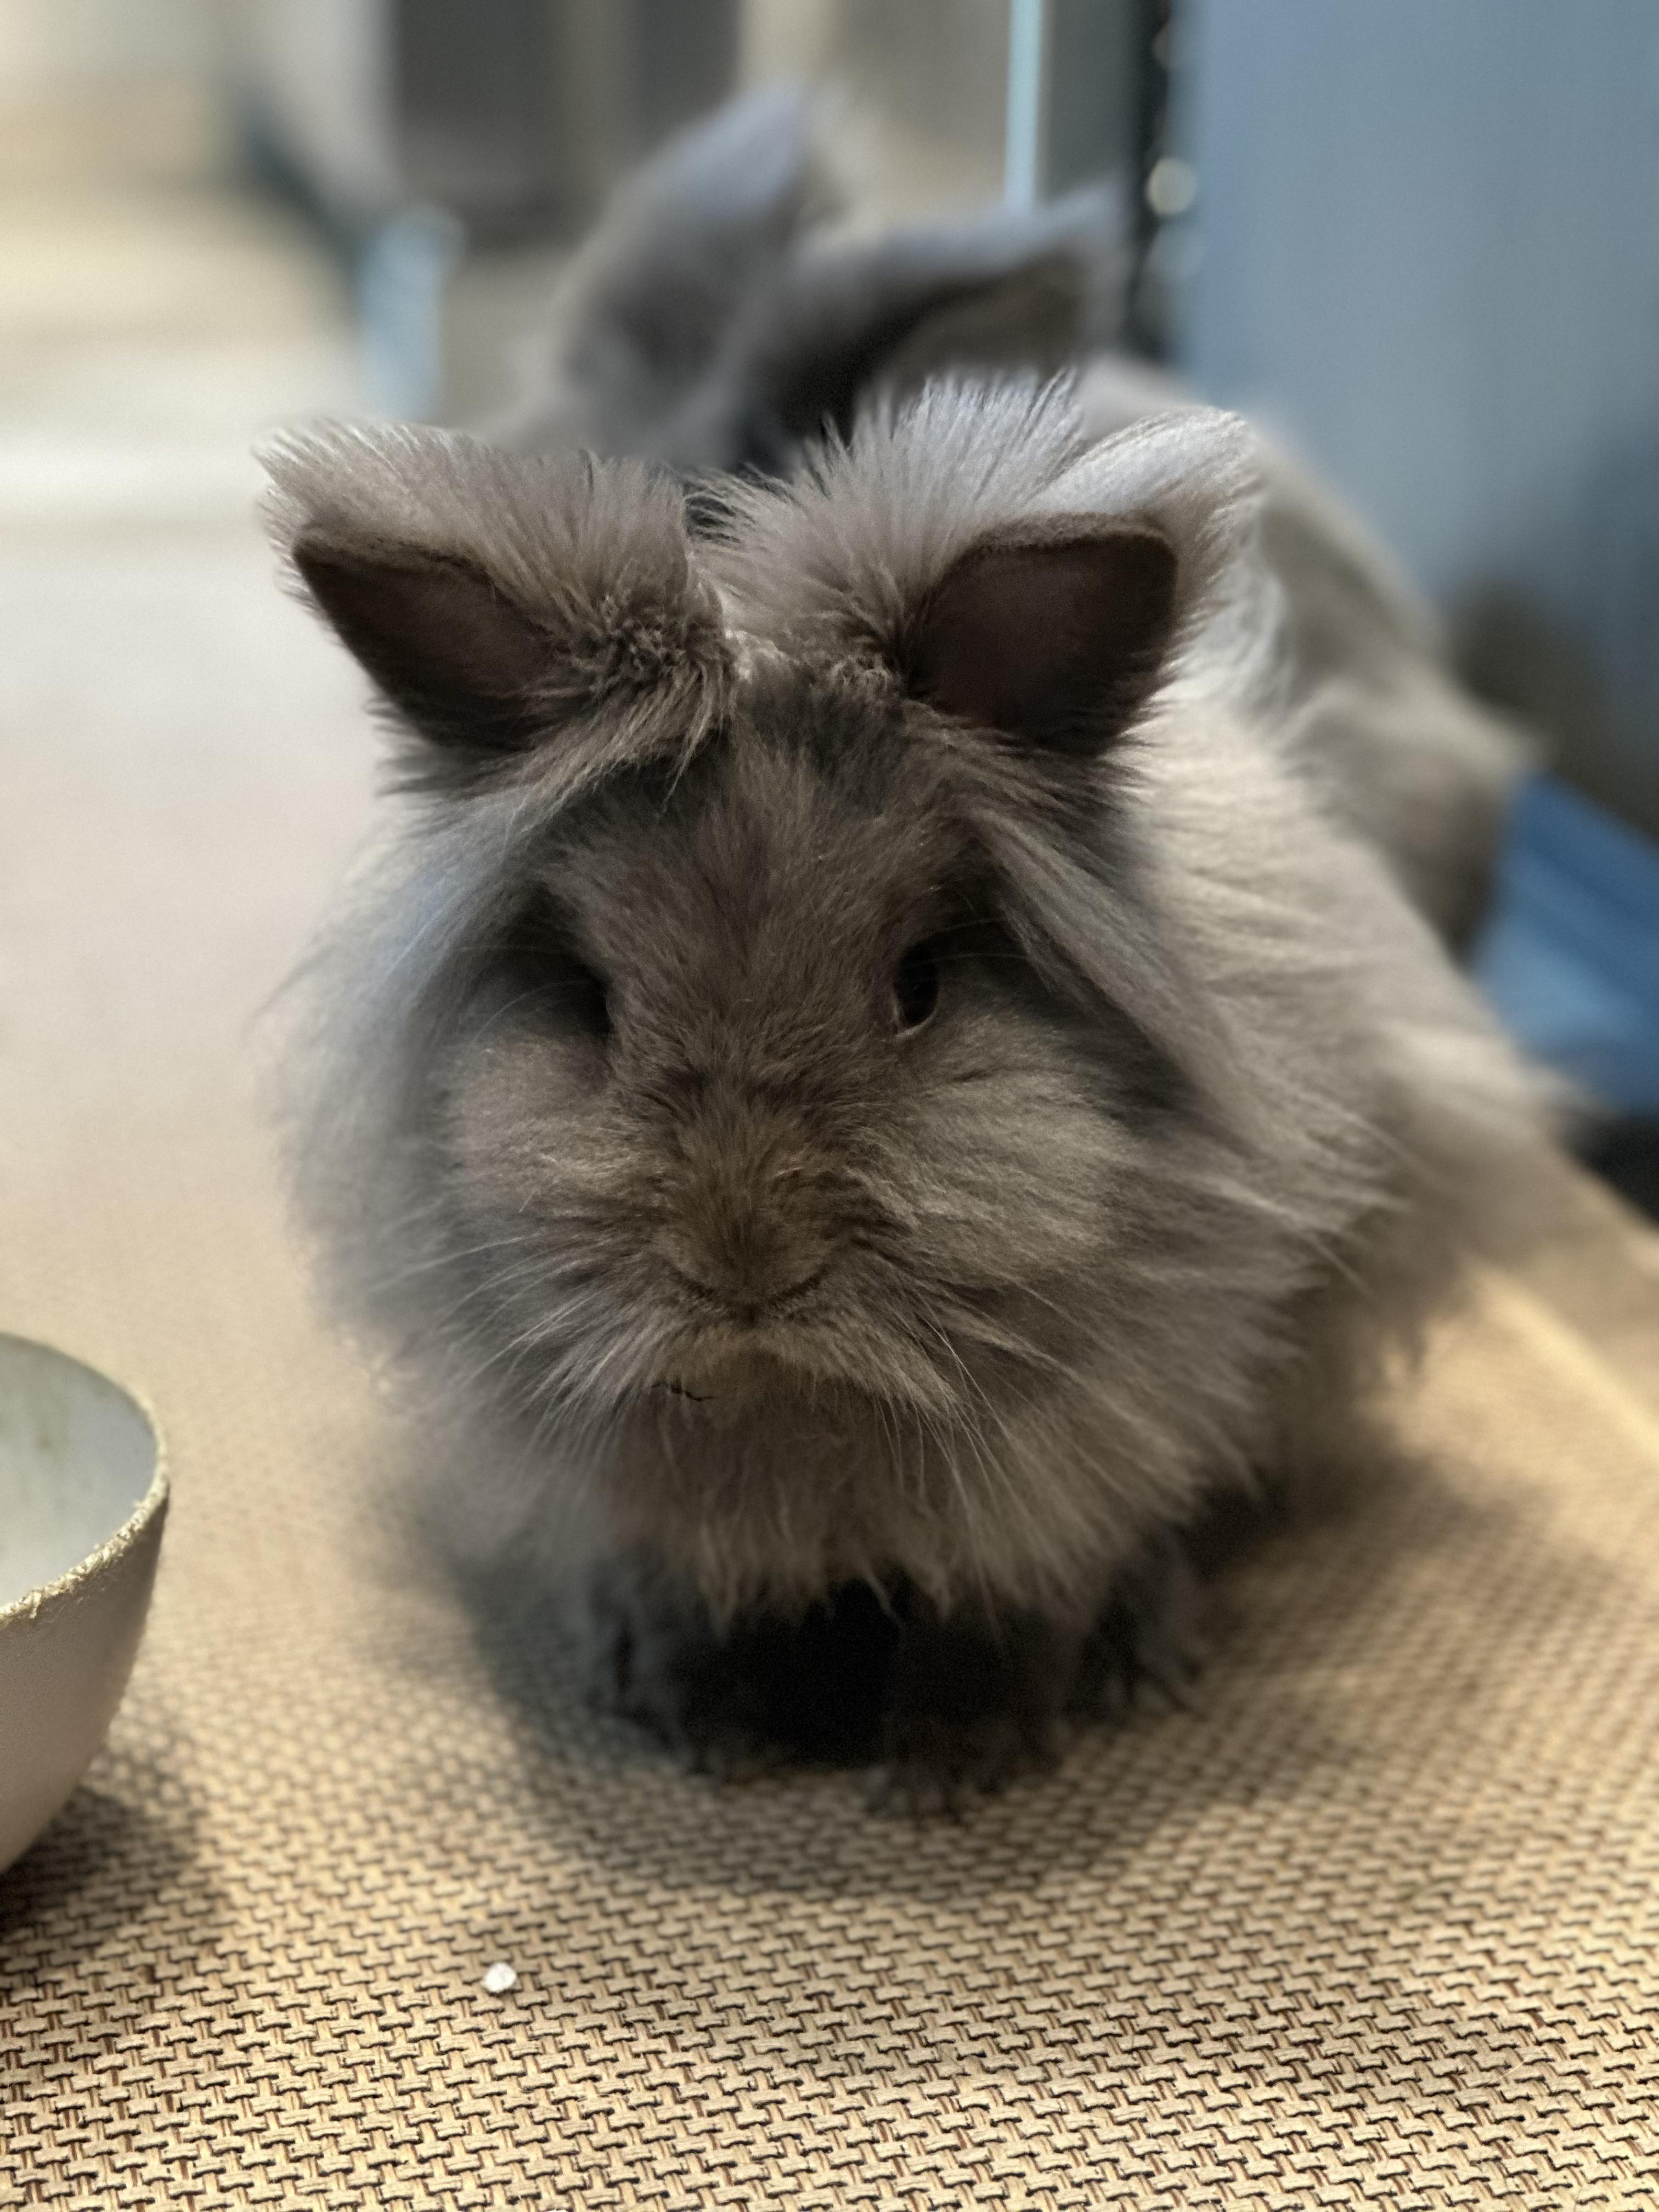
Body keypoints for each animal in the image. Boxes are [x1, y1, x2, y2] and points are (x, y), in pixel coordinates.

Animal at [262, 378, 1550, 1804]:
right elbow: (703, 1592)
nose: (744, 1268)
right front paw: (717, 1729)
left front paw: (955, 1770)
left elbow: (1014, 1602)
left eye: (921, 984)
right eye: (592, 1001)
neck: (795, 1394)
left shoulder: (1088, 1457)